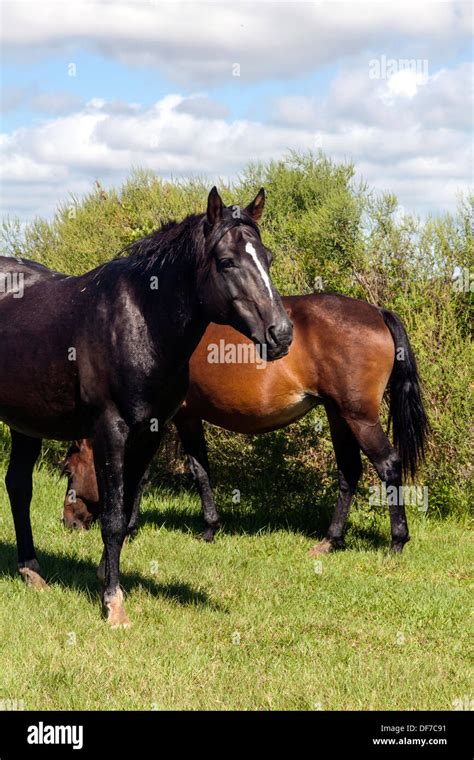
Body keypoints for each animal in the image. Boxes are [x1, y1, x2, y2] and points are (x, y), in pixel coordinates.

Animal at [0, 187, 293, 627]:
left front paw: (106, 575)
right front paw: (113, 604)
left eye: (267, 257)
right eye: (226, 261)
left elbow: (125, 516)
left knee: (18, 487)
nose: (281, 335)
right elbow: (112, 518)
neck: (139, 322)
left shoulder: (149, 433)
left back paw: (32, 571)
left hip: (25, 423)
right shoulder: (110, 431)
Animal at [62, 293, 429, 554]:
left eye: (68, 470)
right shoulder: (188, 416)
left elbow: (143, 474)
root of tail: (377, 312)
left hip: (359, 417)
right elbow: (199, 469)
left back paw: (397, 541)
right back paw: (330, 540)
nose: (68, 522)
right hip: (338, 414)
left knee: (388, 465)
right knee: (349, 472)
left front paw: (130, 528)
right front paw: (210, 527)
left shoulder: (166, 418)